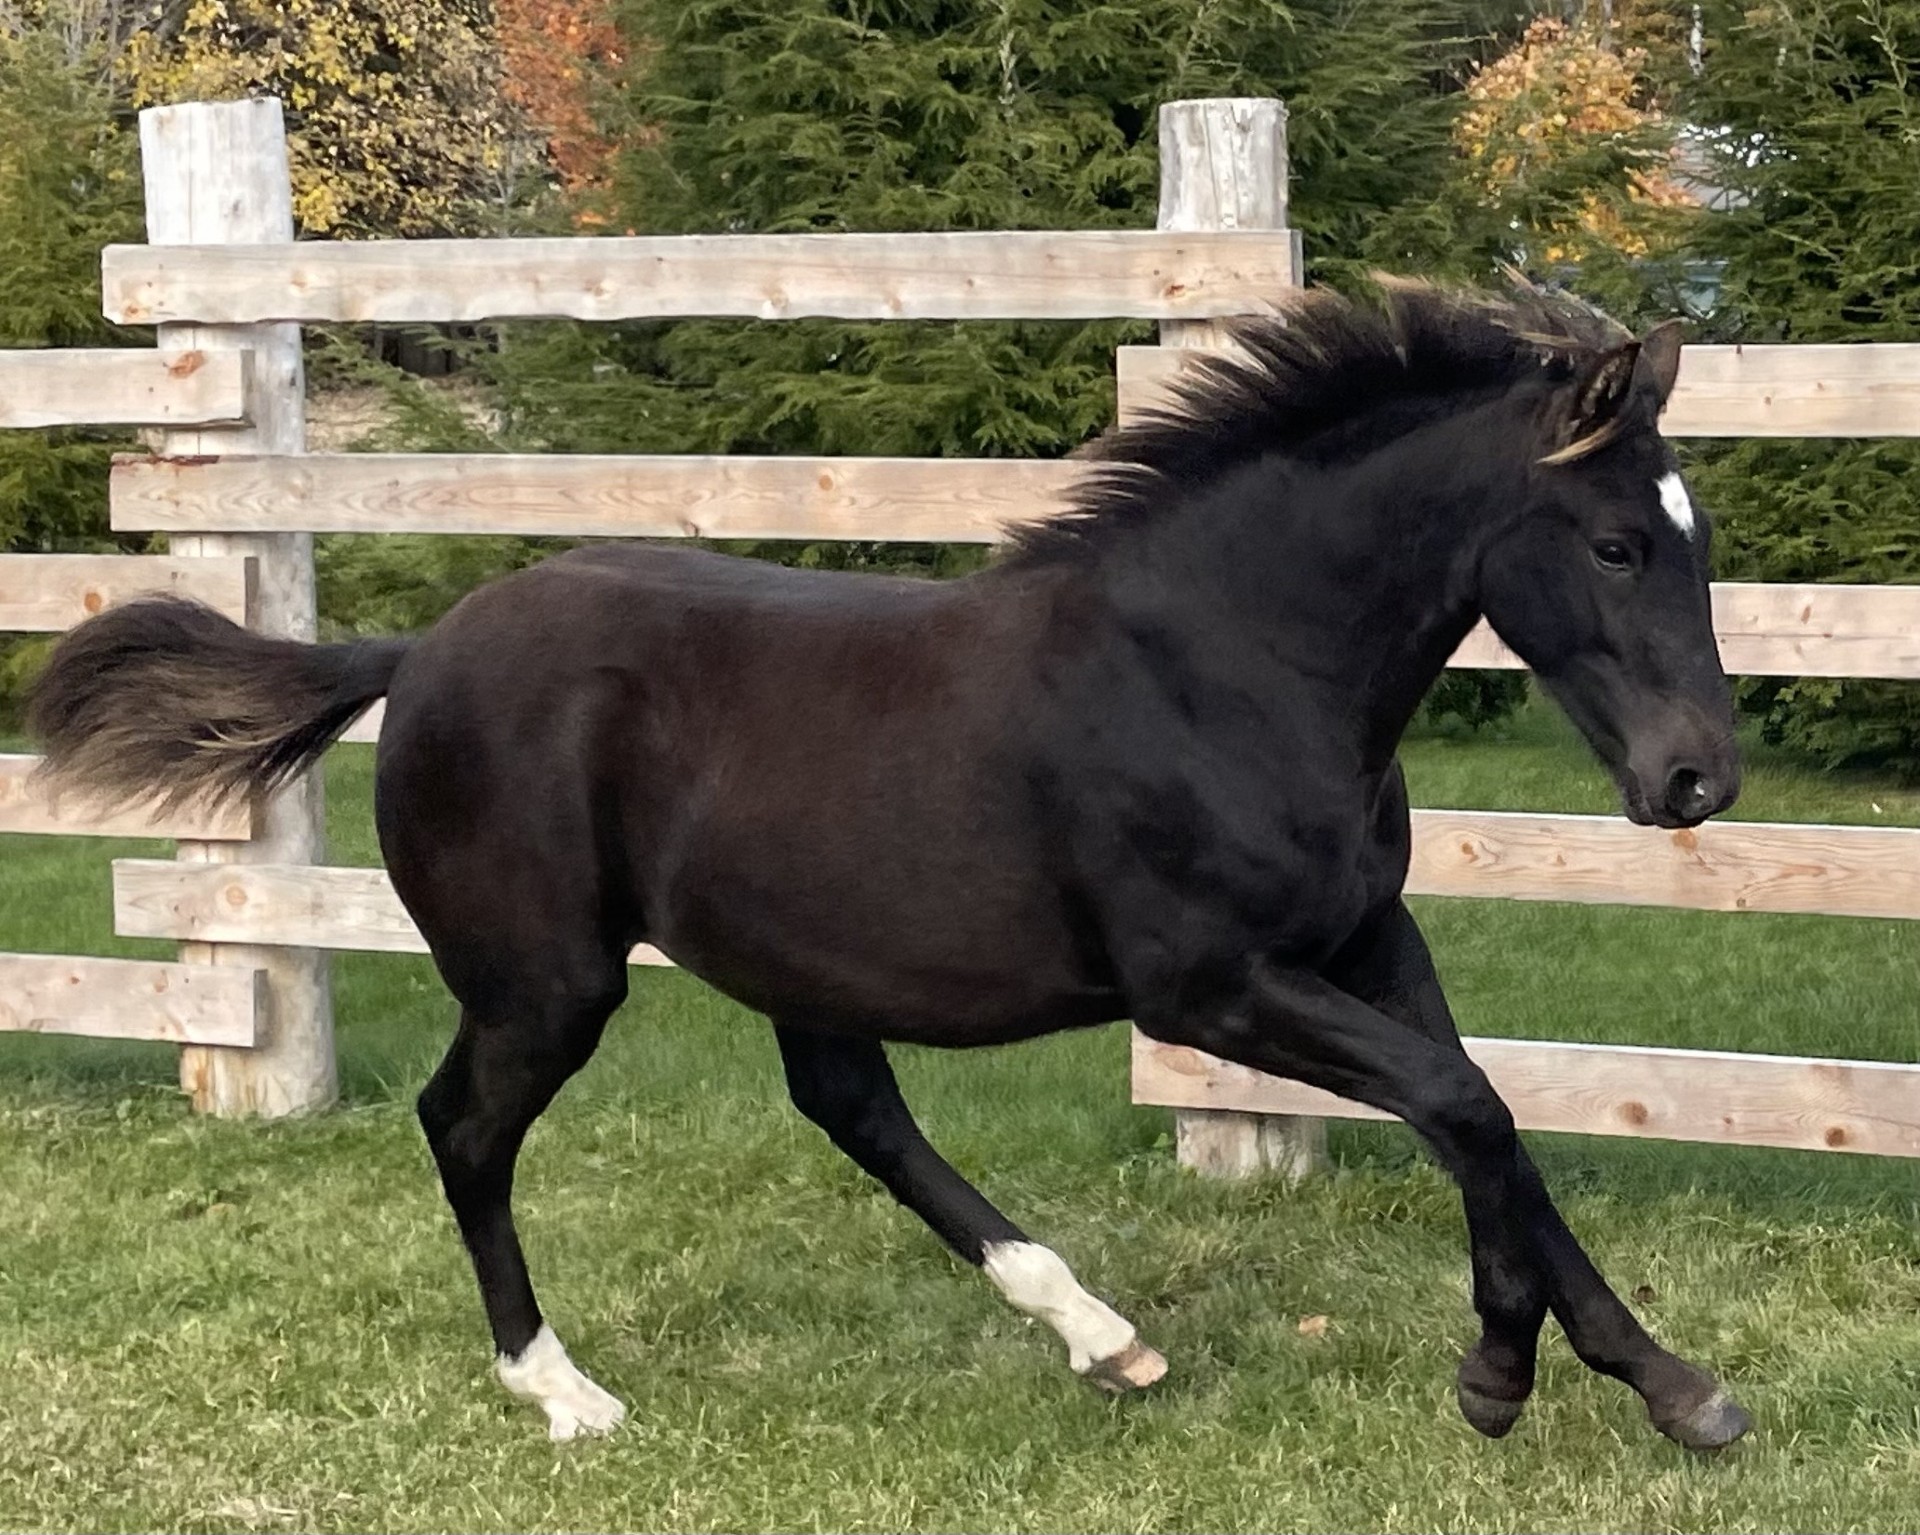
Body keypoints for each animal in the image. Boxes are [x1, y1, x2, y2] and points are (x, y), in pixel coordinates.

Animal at [28, 277, 1750, 1451]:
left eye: (1695, 534)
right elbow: (1467, 1105)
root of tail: (414, 653)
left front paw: (1670, 1385)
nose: (1698, 776)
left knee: (850, 1106)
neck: (1226, 665)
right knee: (464, 1126)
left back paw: (1101, 1333)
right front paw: (1501, 1376)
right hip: (546, 979)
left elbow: (1487, 1115)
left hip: (793, 950)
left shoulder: (1368, 940)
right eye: (1613, 543)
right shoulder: (1209, 985)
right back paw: (564, 1389)